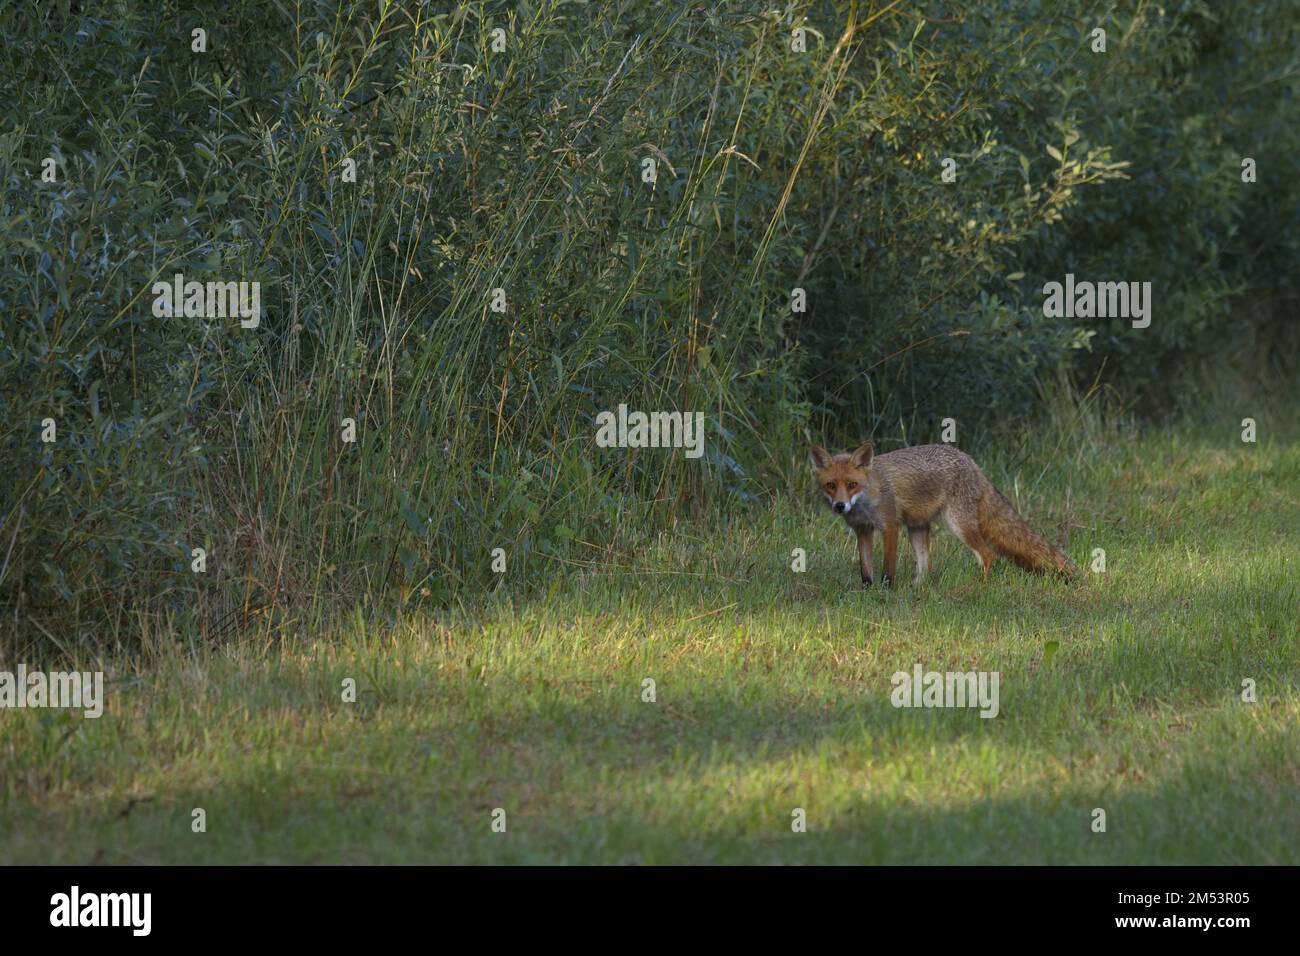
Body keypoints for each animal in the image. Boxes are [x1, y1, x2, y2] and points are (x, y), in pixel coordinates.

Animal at [809, 441, 1078, 587]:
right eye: (831, 485)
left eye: (851, 484)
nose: (840, 506)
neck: (867, 498)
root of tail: (971, 461)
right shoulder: (863, 530)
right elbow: (865, 570)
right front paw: (867, 591)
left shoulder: (890, 527)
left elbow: (888, 568)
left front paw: (886, 590)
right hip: (917, 528)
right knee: (926, 566)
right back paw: (917, 587)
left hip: (958, 525)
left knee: (988, 555)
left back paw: (978, 586)